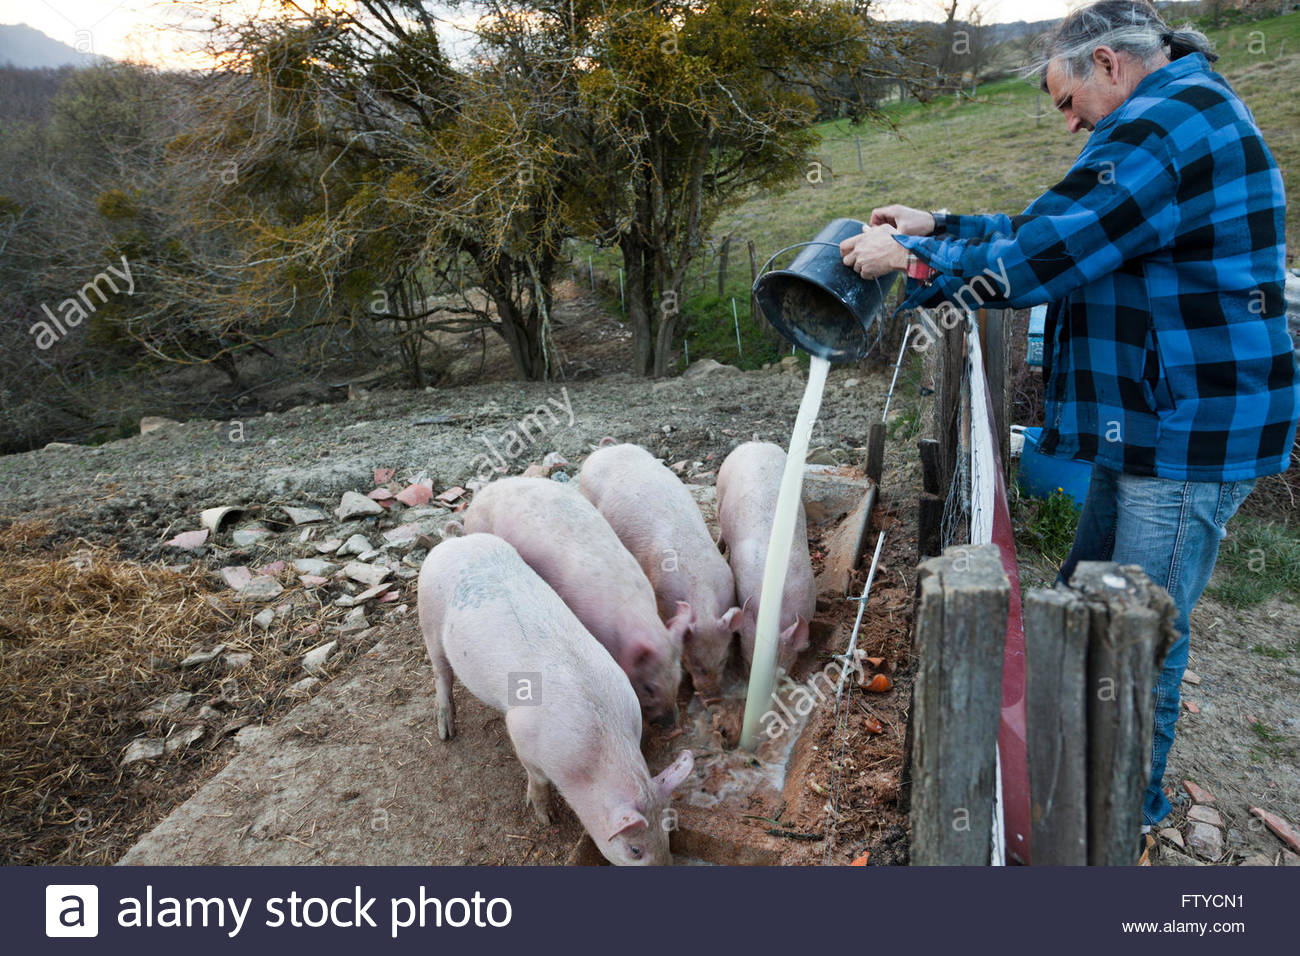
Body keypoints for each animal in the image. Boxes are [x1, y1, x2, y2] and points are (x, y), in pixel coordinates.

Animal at [419, 533, 693, 865]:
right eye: (635, 849)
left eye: (667, 832)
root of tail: (454, 540)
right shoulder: (522, 732)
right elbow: (537, 780)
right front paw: (546, 818)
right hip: (429, 619)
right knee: (441, 673)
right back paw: (446, 733)